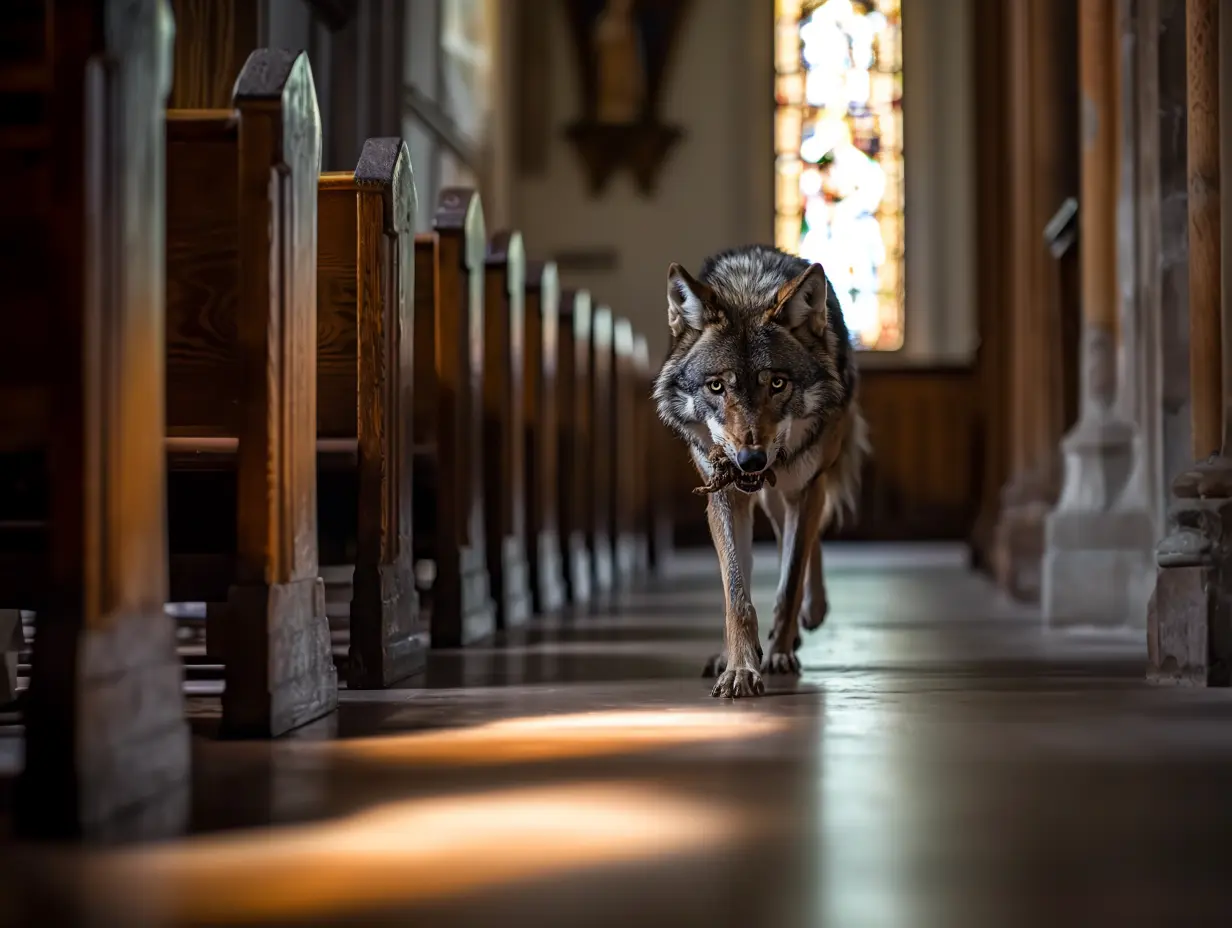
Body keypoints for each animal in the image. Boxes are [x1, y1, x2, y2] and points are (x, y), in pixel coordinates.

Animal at [653, 245, 870, 698]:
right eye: (717, 386)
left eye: (777, 384)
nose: (750, 460)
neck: (747, 290)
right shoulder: (724, 493)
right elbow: (735, 593)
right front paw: (739, 667)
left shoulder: (807, 486)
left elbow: (789, 582)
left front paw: (780, 654)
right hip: (767, 497)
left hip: (796, 487)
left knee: (805, 545)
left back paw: (809, 616)